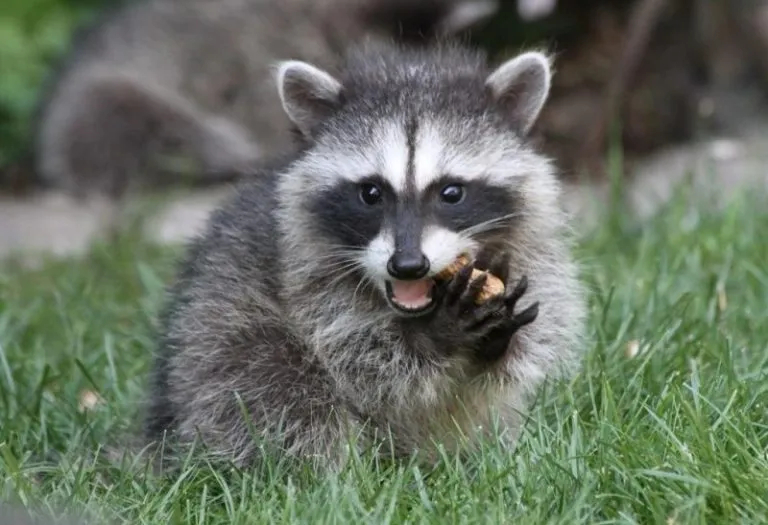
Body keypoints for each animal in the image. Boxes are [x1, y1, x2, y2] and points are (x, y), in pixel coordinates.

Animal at [143, 41, 587, 469]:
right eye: (371, 193)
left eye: (452, 192)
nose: (408, 265)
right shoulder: (302, 277)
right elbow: (362, 361)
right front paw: (436, 336)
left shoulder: (532, 252)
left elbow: (531, 343)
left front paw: (497, 335)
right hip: (214, 344)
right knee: (276, 388)